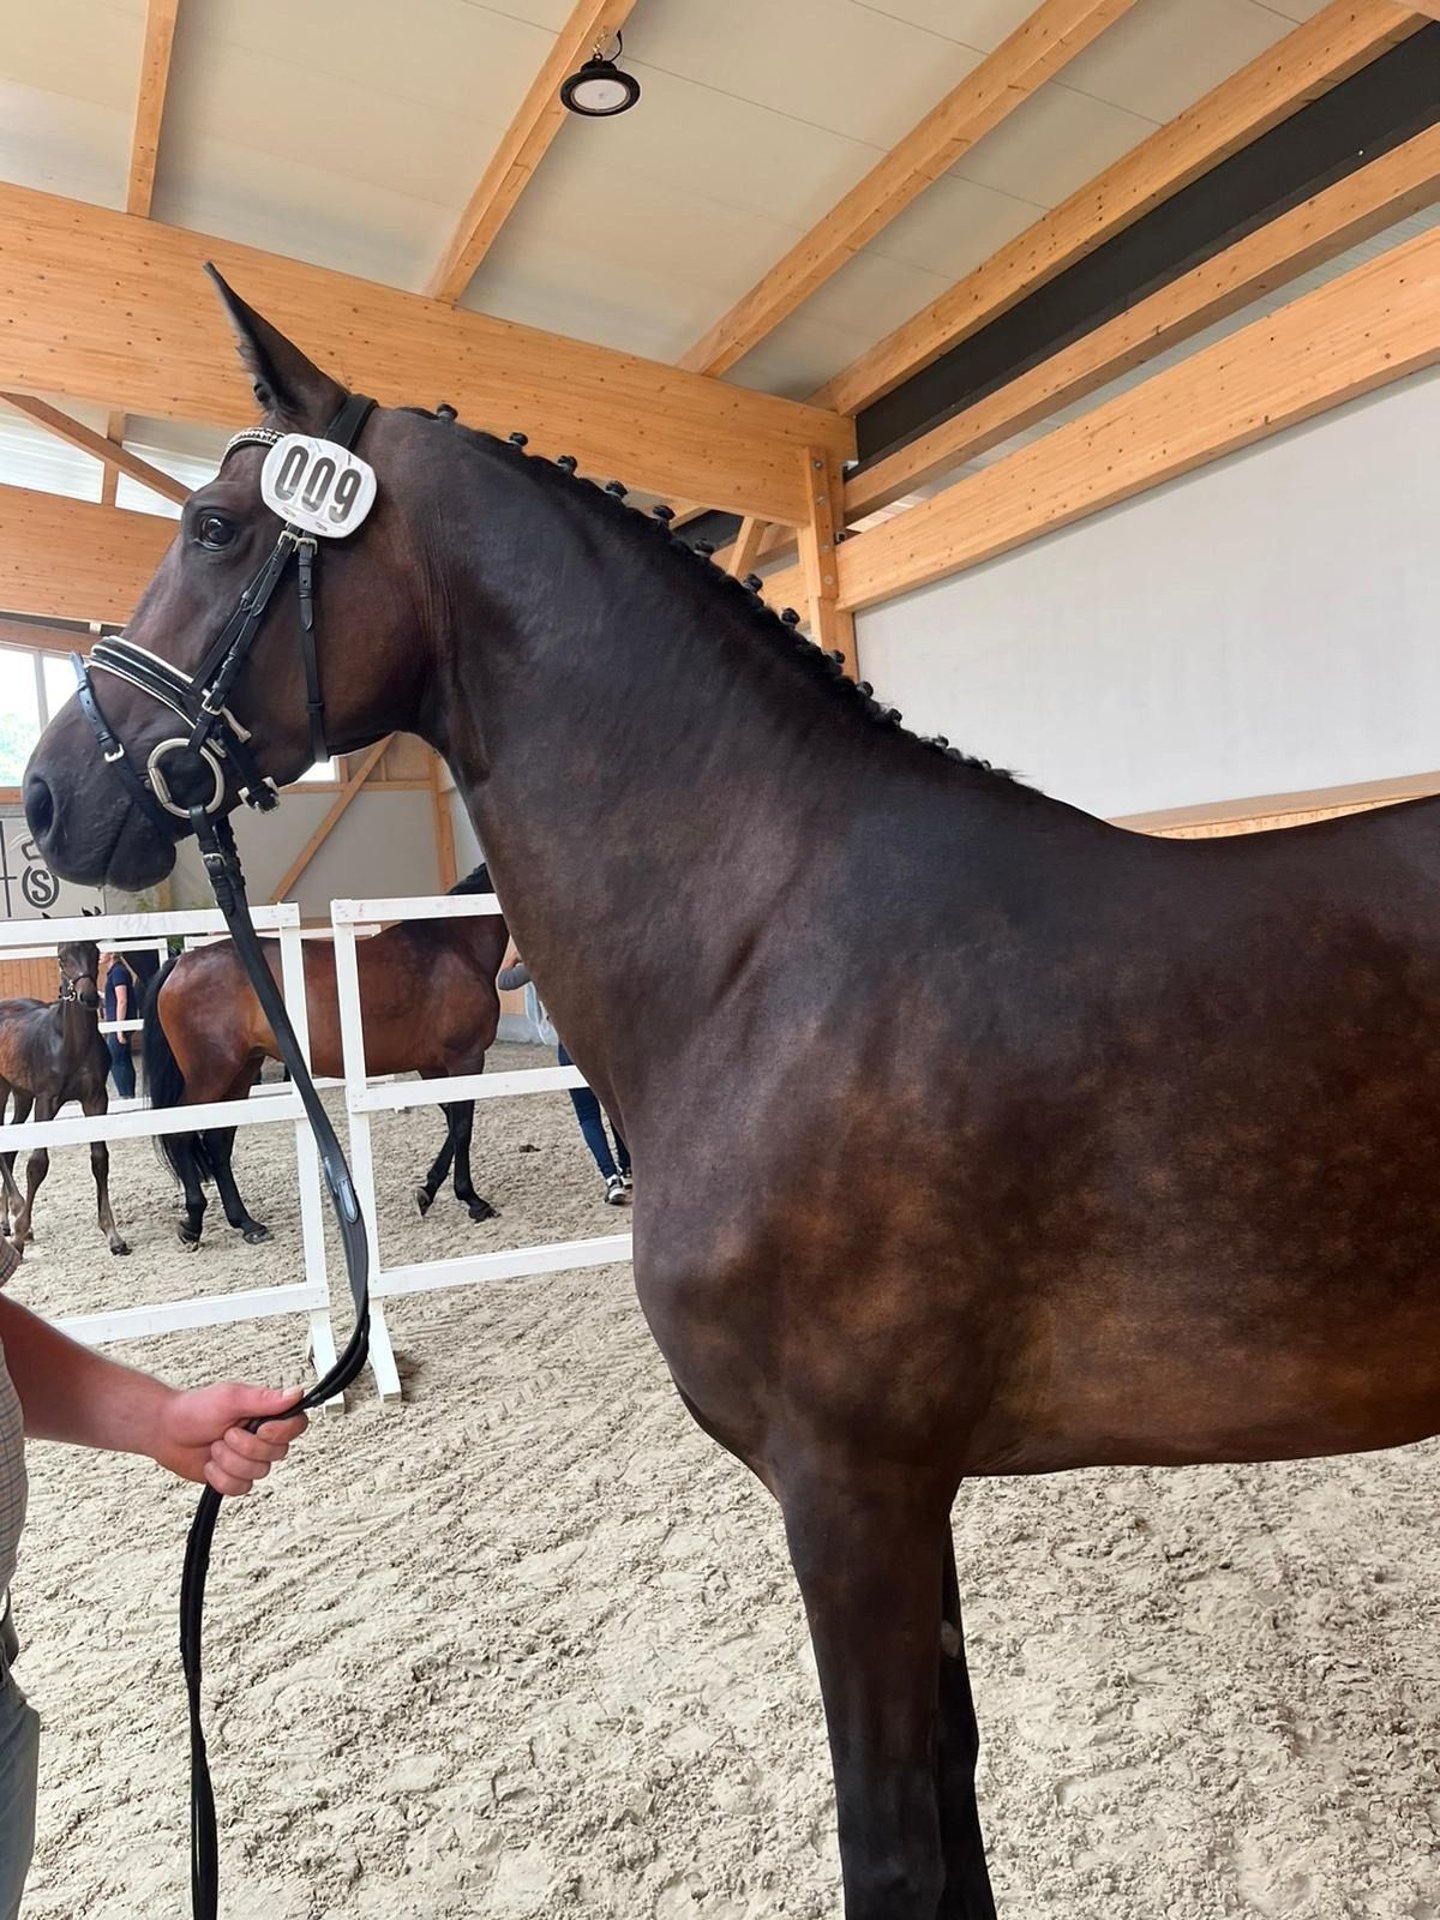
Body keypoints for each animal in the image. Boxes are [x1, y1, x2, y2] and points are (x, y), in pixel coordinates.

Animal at [0, 940, 128, 1257]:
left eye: (95, 953)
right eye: (60, 958)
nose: (88, 997)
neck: (69, 1043)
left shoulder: (96, 1099)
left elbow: (100, 1160)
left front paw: (113, 1235)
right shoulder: (47, 1100)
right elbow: (38, 1164)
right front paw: (20, 1237)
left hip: (21, 1095)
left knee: (8, 1150)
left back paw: (7, 1220)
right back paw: (18, 1214)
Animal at [142, 864, 509, 1248]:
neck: (455, 942)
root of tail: (181, 962)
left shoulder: (433, 1067)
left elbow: (452, 1123)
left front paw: (428, 1190)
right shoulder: (465, 1059)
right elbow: (463, 1126)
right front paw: (472, 1199)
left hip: (240, 1074)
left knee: (217, 1142)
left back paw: (246, 1223)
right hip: (210, 1076)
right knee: (183, 1134)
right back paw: (193, 1222)